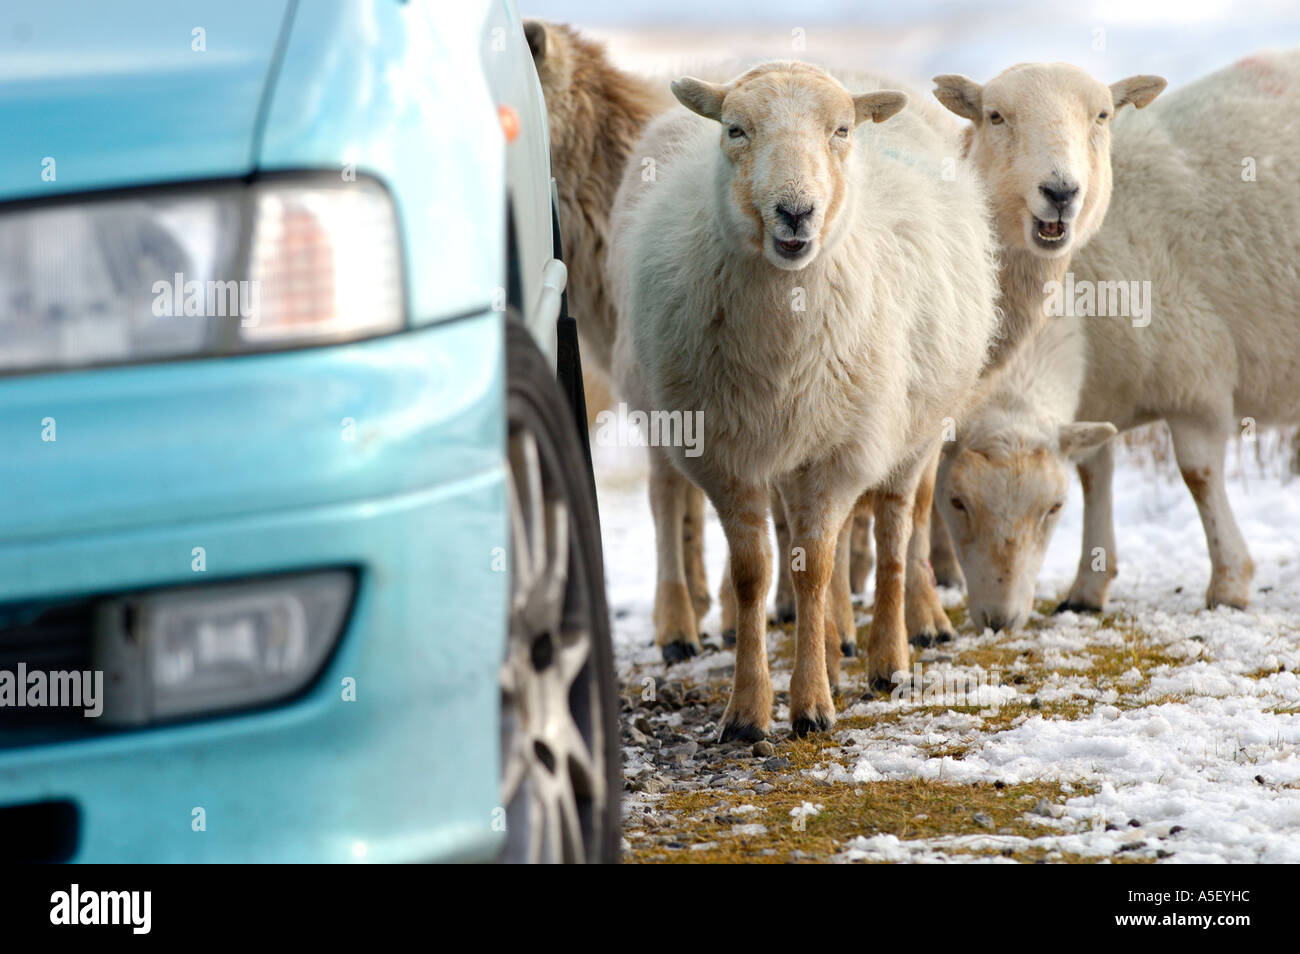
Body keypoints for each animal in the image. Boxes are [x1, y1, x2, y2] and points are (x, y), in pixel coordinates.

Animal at [609, 61, 999, 737]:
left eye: (842, 130)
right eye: (734, 129)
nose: (796, 212)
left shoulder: (839, 453)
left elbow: (814, 567)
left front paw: (813, 702)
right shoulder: (725, 453)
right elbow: (753, 575)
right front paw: (747, 710)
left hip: (906, 429)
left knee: (895, 531)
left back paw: (887, 658)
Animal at [933, 51, 1300, 627]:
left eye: (1052, 510)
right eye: (956, 503)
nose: (999, 618)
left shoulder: (1194, 380)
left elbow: (1197, 474)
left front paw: (1229, 583)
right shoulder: (1095, 397)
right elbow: (1096, 473)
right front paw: (1088, 587)